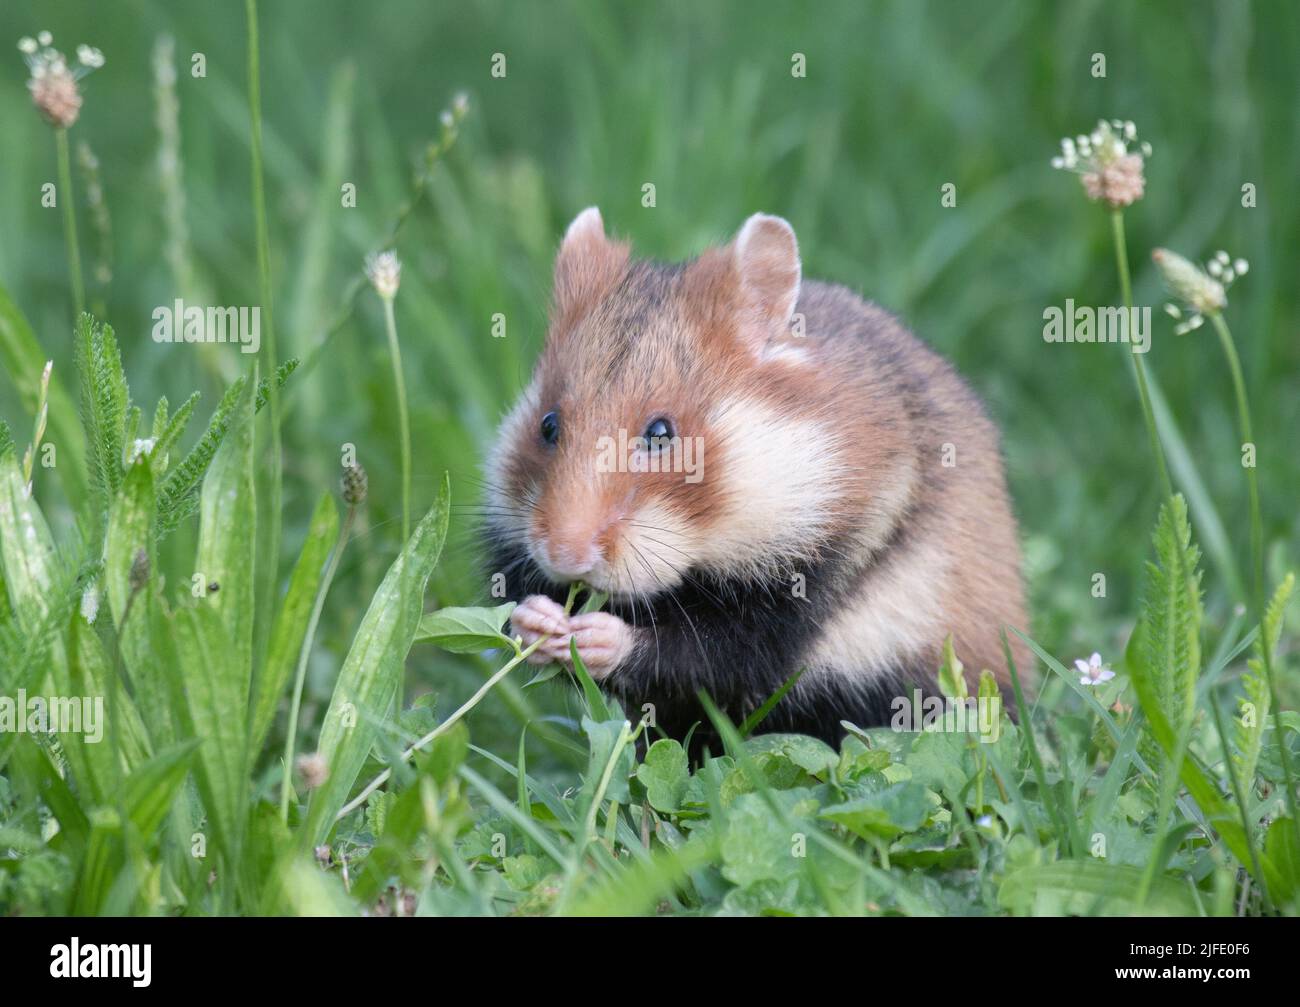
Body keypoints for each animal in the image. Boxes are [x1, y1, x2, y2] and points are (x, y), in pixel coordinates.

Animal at [483, 207, 1030, 748]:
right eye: (548, 425)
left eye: (661, 433)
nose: (564, 556)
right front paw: (537, 620)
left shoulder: (803, 591)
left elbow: (708, 654)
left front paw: (593, 634)